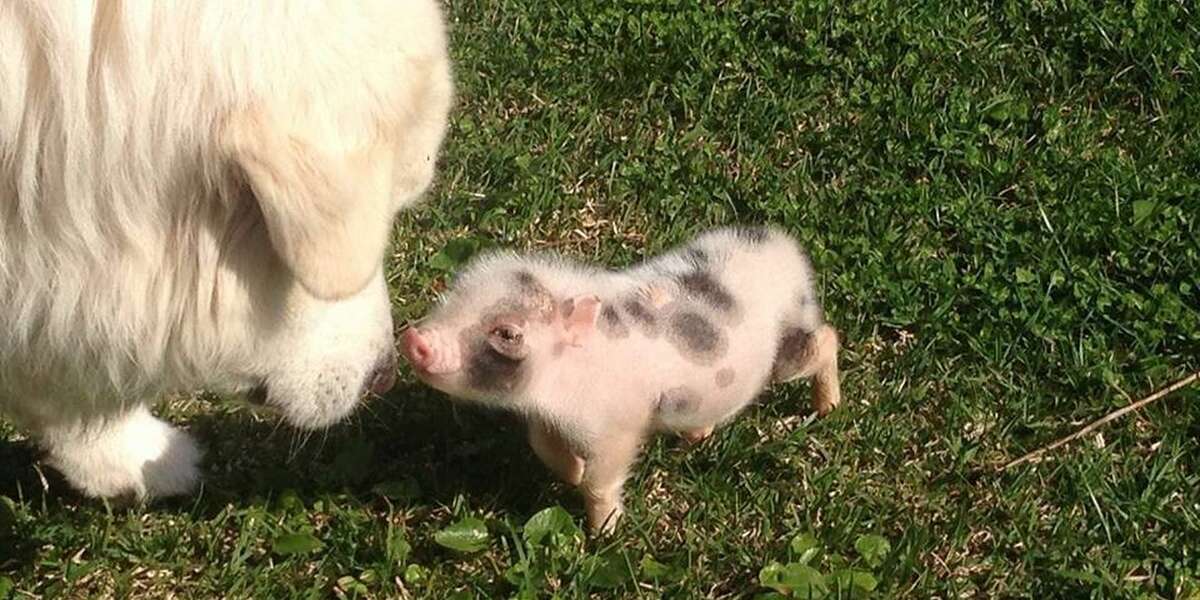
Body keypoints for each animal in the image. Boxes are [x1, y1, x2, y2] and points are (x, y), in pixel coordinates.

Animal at [400, 225, 841, 533]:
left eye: (507, 333)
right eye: (450, 300)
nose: (413, 338)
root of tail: (782, 245)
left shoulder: (618, 427)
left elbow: (601, 481)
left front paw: (604, 535)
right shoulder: (548, 420)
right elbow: (542, 445)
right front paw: (573, 473)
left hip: (790, 337)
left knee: (826, 339)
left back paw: (828, 407)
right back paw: (696, 437)